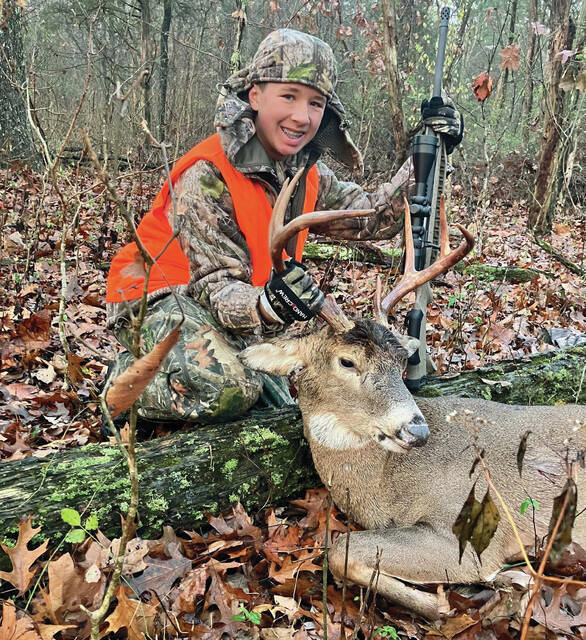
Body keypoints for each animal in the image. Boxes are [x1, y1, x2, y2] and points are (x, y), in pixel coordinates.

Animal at [239, 170, 586, 619]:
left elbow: (341, 548)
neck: (384, 487)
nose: (416, 431)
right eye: (347, 361)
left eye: (403, 361)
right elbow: (341, 548)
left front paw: (443, 603)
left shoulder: (477, 526)